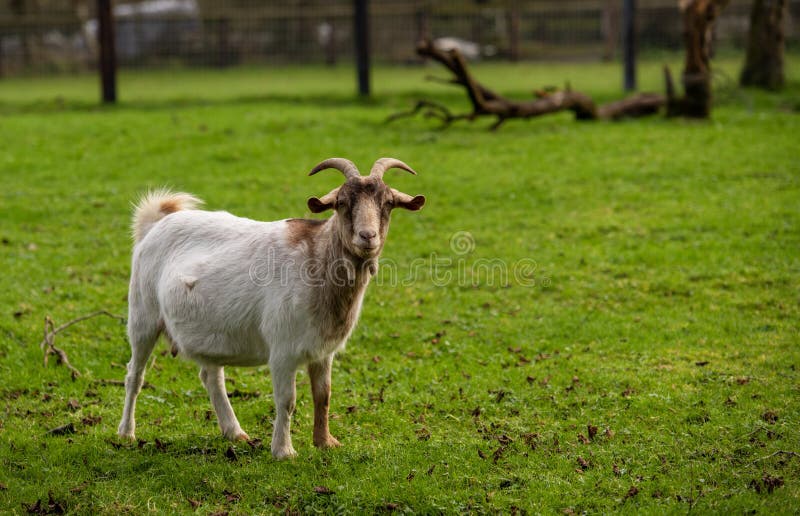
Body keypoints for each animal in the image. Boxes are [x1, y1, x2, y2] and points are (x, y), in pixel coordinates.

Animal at [118, 157, 425, 459]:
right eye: (341, 202)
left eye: (388, 203)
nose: (367, 236)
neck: (318, 259)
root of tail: (155, 224)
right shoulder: (283, 350)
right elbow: (287, 400)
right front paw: (283, 451)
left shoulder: (323, 350)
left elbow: (323, 395)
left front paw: (325, 442)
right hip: (143, 314)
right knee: (135, 374)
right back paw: (126, 433)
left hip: (207, 330)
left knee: (211, 377)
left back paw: (234, 432)